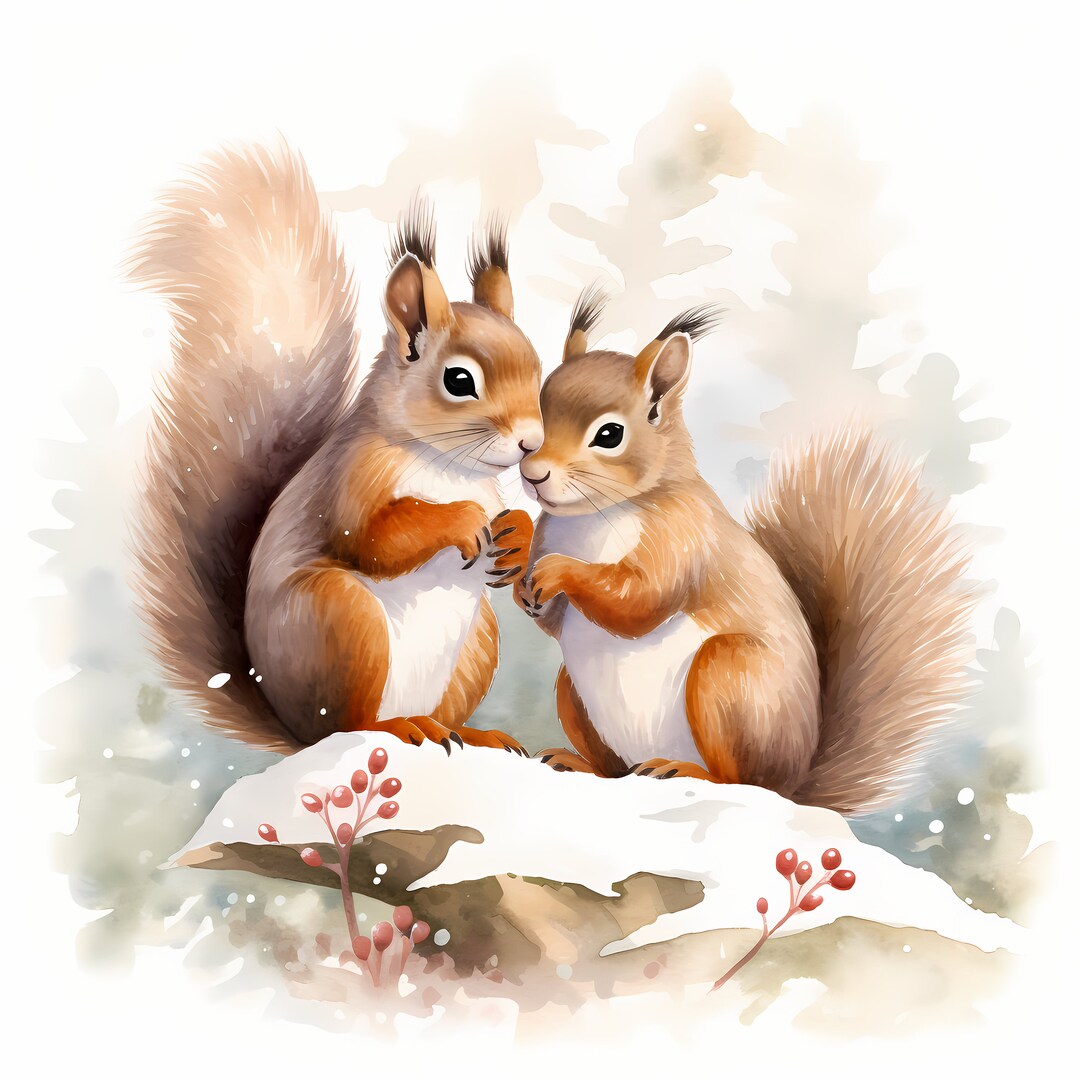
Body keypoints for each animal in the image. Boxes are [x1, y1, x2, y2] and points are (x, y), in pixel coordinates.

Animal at [128, 139, 544, 755]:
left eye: (538, 367)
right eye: (459, 380)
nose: (531, 442)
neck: (449, 468)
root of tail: (294, 732)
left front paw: (517, 534)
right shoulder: (352, 476)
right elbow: (371, 539)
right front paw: (461, 519)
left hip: (476, 643)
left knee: (446, 716)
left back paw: (473, 732)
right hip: (339, 619)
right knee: (350, 722)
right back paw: (398, 727)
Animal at [515, 286, 977, 814]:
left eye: (609, 435)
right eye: (537, 412)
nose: (533, 474)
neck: (593, 514)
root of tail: (796, 786)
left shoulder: (683, 535)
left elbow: (639, 600)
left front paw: (557, 572)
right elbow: (556, 623)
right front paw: (522, 586)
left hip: (729, 679)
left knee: (741, 780)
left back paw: (684, 771)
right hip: (573, 691)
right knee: (615, 770)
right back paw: (578, 762)